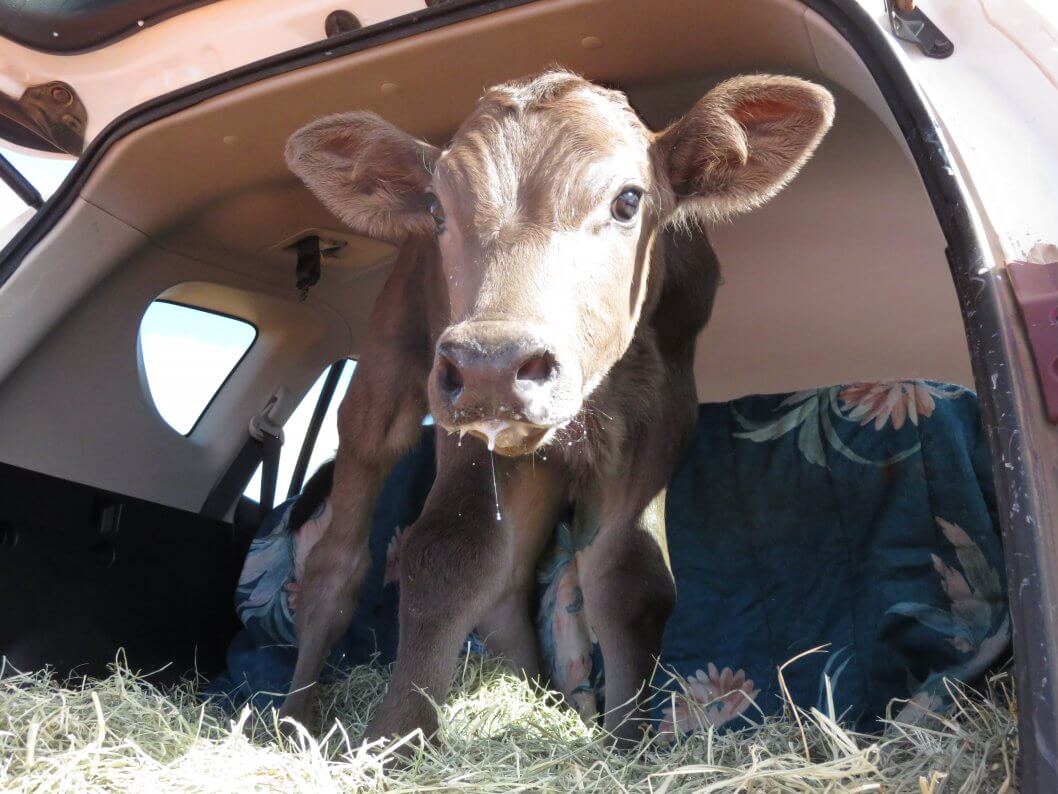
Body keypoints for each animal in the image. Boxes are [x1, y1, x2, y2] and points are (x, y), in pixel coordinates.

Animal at [279, 70, 834, 745]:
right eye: (437, 210)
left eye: (628, 201)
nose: (493, 363)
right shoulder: (467, 415)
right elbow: (448, 551)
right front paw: (397, 738)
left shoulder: (663, 414)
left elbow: (631, 578)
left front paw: (626, 744)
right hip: (387, 365)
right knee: (337, 561)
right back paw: (296, 716)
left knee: (512, 582)